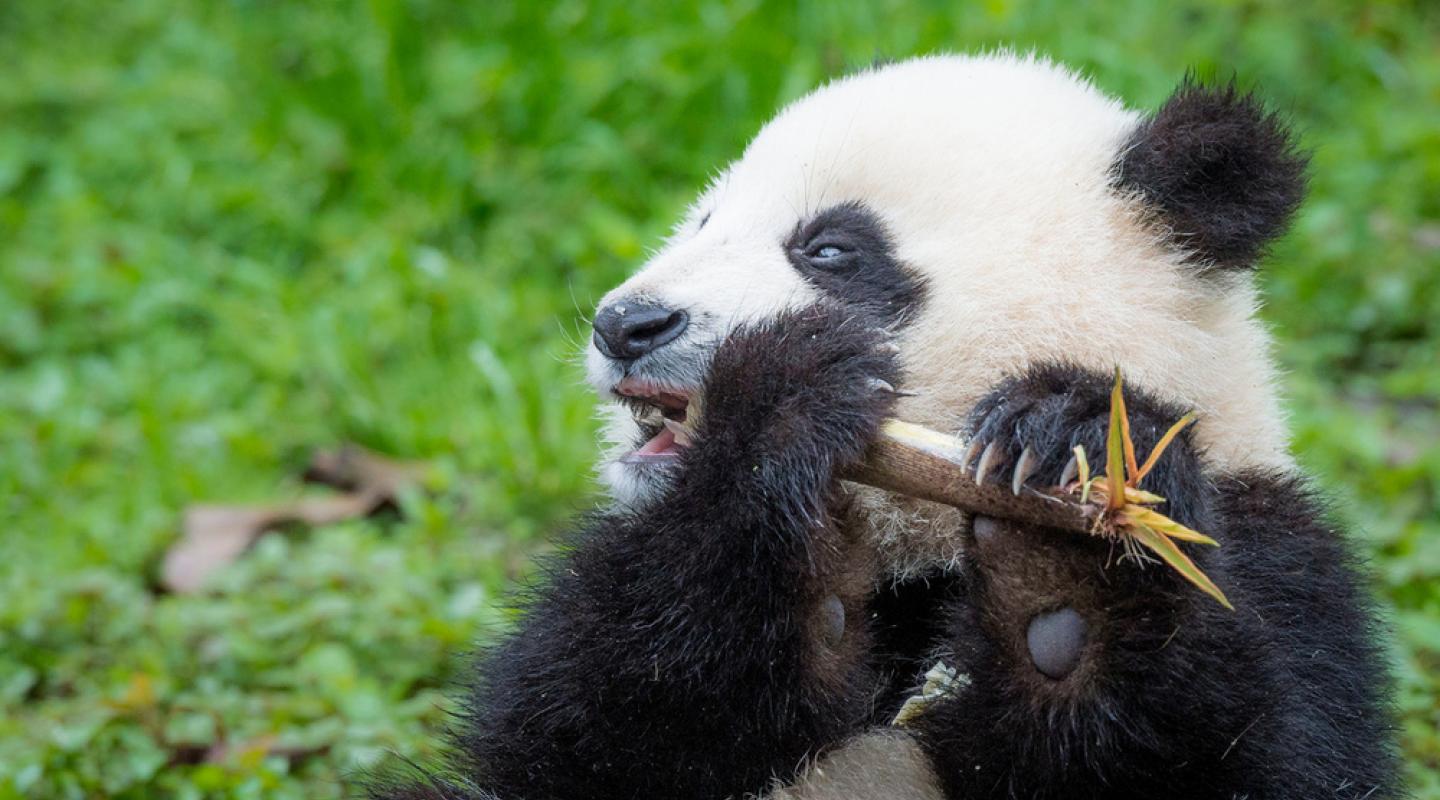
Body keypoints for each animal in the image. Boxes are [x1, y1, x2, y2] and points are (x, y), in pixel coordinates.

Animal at [370, 53, 1398, 800]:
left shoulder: (1276, 558)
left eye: (829, 248)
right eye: (703, 221)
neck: (922, 553)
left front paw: (1066, 541)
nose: (628, 324)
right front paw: (783, 422)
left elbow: (1257, 756)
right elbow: (584, 729)